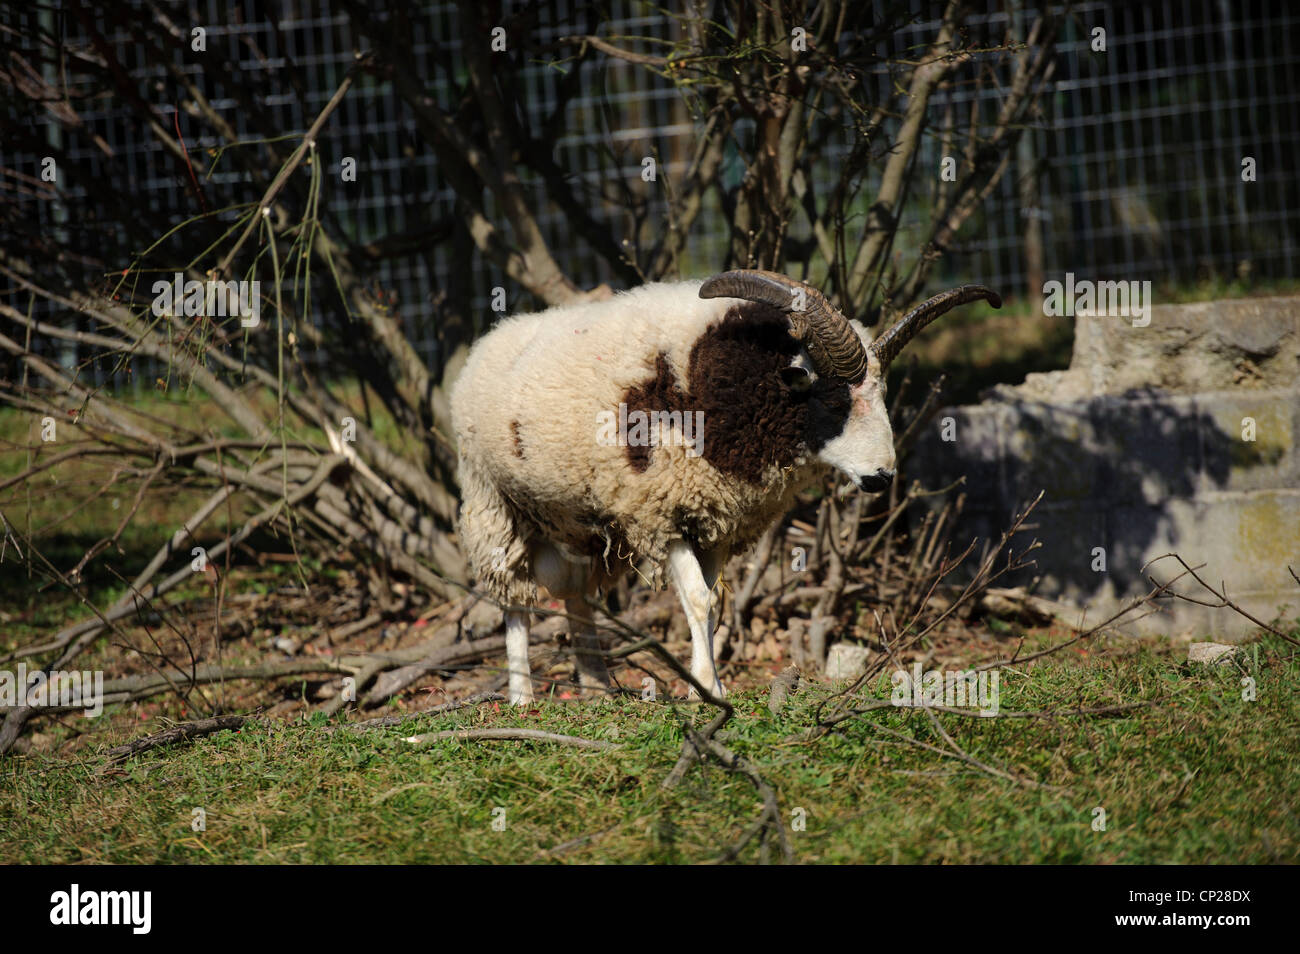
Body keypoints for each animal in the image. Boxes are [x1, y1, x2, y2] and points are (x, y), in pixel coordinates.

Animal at [450, 270, 1000, 704]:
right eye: (834, 400)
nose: (881, 477)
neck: (721, 379)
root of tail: (491, 339)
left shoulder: (715, 520)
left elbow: (713, 605)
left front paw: (708, 681)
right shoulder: (664, 511)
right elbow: (698, 600)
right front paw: (708, 690)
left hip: (575, 524)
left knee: (577, 599)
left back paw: (597, 687)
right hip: (492, 504)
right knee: (514, 602)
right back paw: (522, 698)